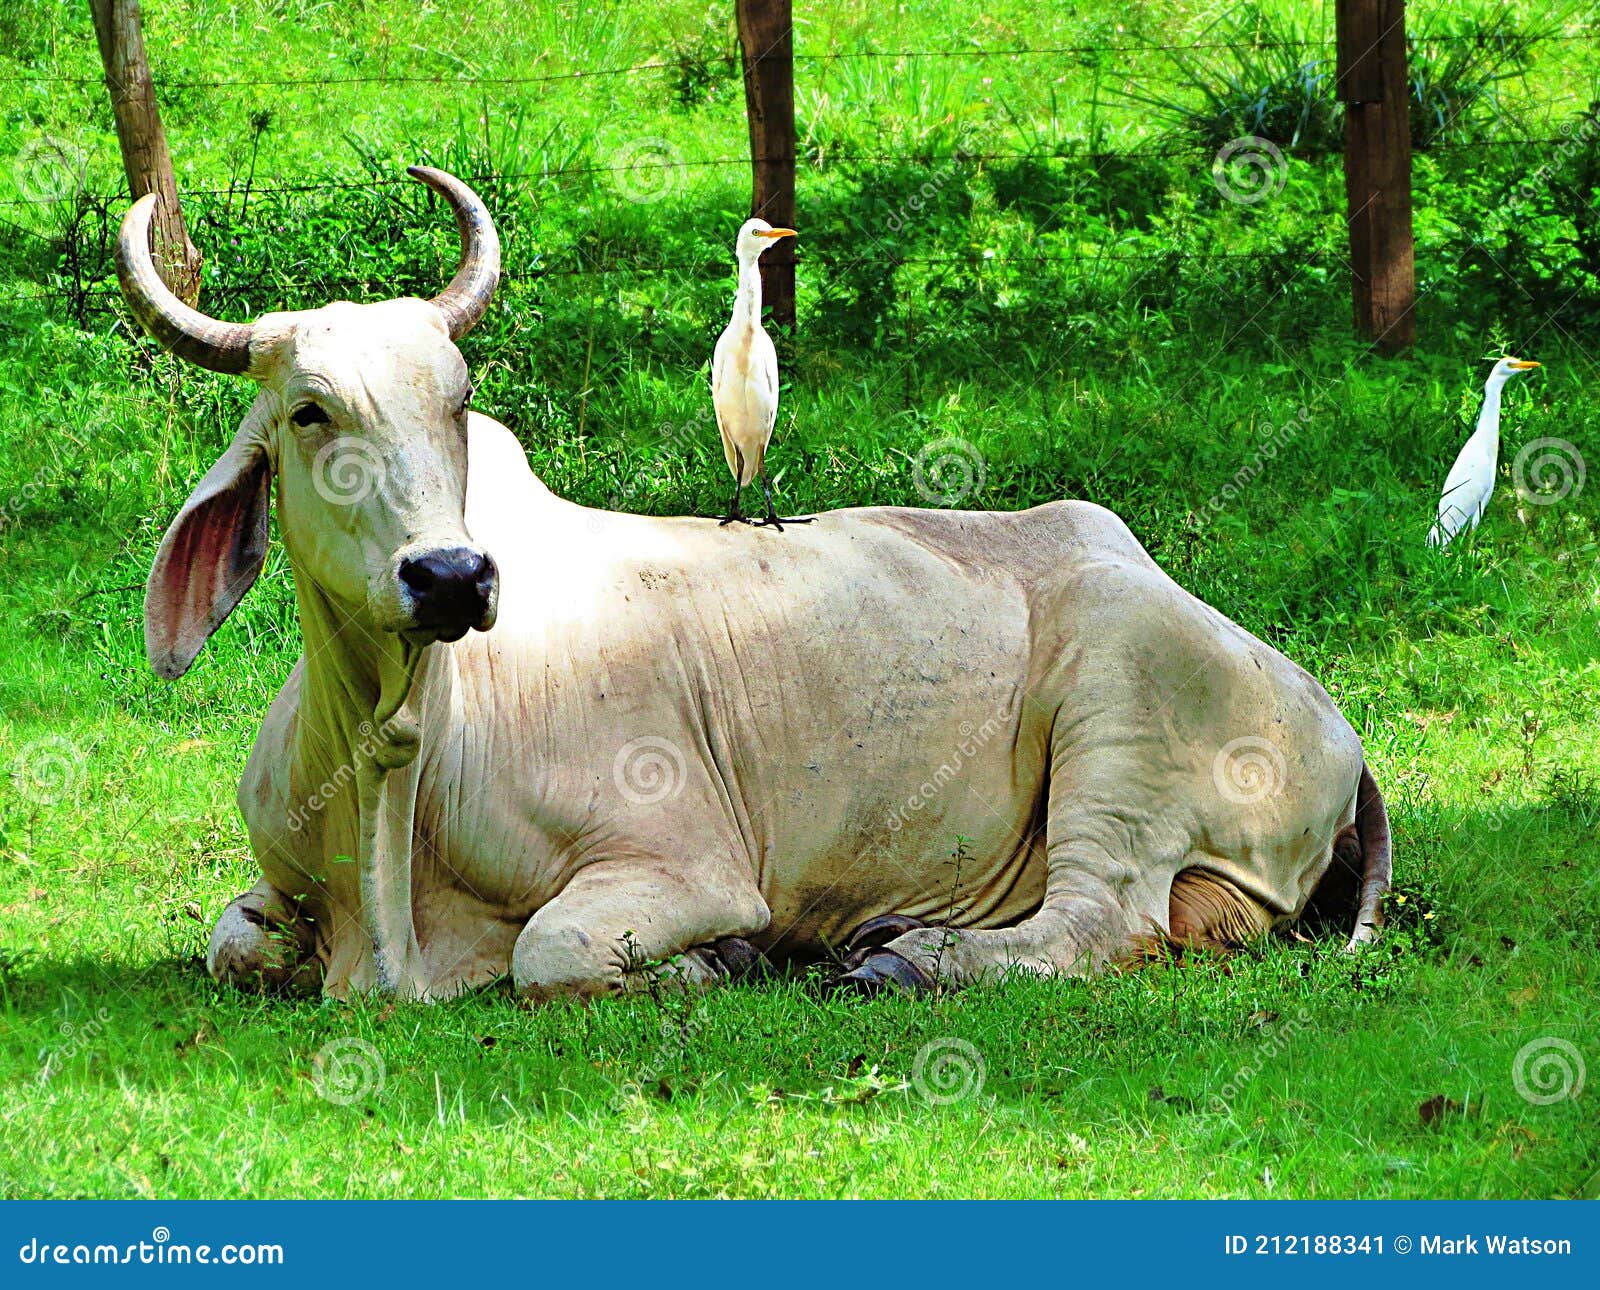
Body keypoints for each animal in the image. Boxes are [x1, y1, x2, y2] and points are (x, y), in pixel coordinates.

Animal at [116, 168, 1390, 1003]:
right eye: (308, 411)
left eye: (456, 398)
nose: (450, 575)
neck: (392, 762)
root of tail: (1330, 721)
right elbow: (236, 940)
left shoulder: (680, 863)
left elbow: (548, 955)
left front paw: (720, 960)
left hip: (1118, 704)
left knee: (1096, 919)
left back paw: (899, 958)